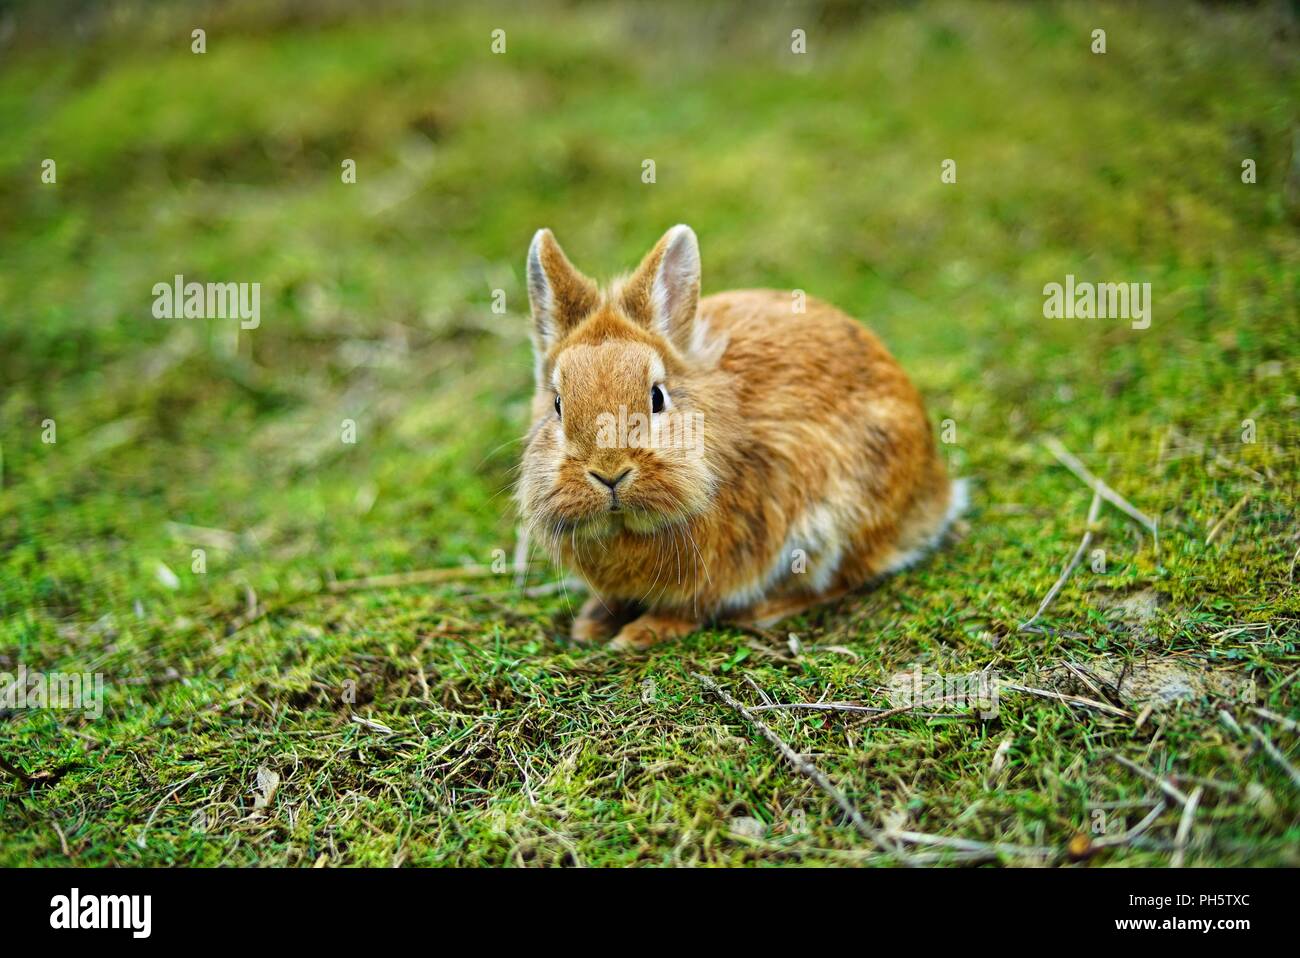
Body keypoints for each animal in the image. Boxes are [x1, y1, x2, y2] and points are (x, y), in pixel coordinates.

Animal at [517, 224, 965, 650]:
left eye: (657, 397)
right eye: (558, 405)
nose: (609, 472)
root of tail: (936, 494)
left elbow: (693, 606)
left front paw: (641, 633)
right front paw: (590, 625)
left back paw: (763, 610)